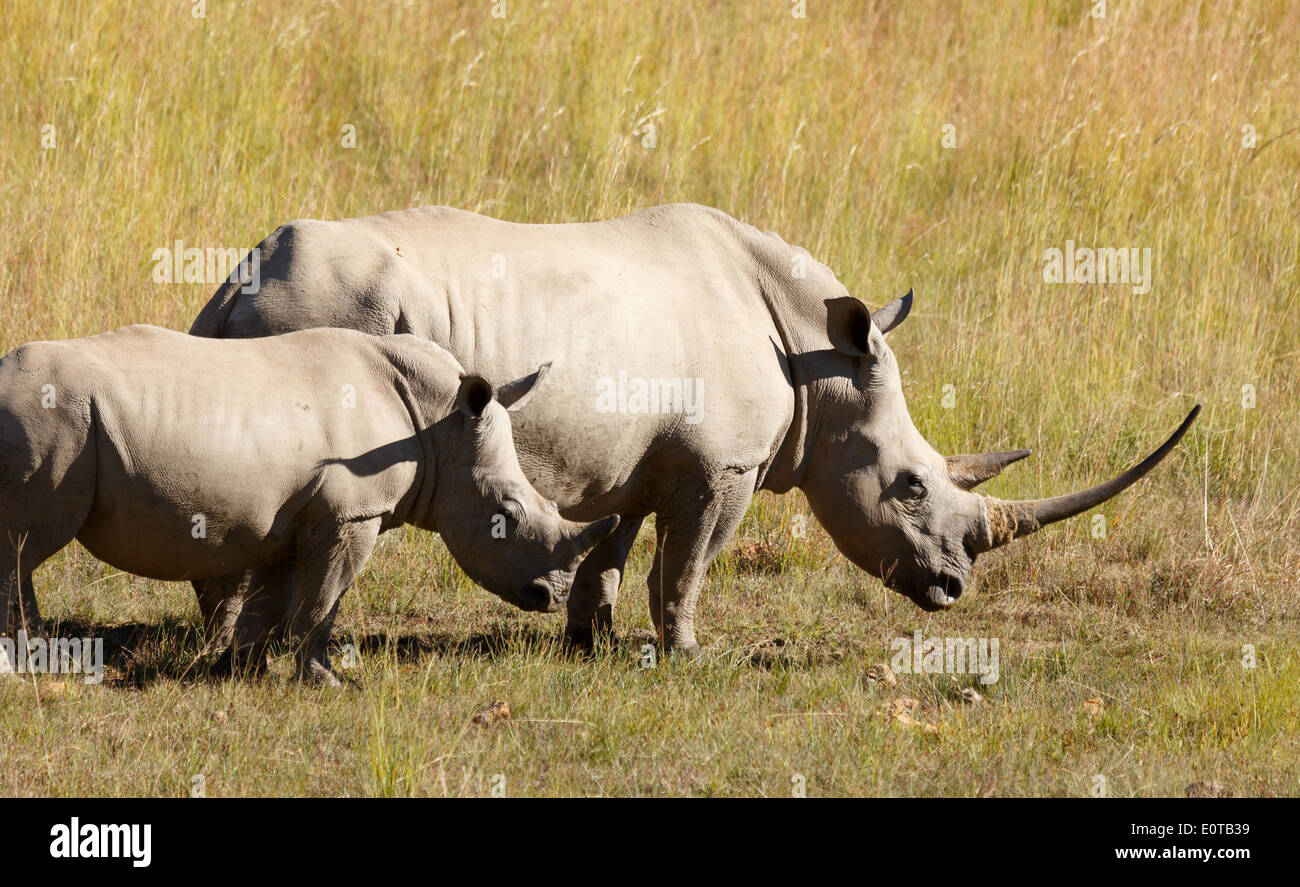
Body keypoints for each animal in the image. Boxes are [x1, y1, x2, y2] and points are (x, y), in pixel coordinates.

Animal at [0, 324, 618, 683]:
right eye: (507, 516)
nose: (551, 596)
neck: (440, 422)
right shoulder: (351, 515)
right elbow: (324, 600)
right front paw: (325, 679)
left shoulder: (285, 517)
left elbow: (270, 599)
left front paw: (238, 671)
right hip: (52, 418)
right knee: (26, 546)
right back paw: (39, 665)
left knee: (19, 548)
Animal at [190, 203, 1199, 655]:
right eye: (910, 486)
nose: (953, 588)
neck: (817, 358)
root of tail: (237, 282)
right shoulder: (725, 464)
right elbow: (689, 562)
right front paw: (682, 653)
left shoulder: (631, 458)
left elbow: (611, 544)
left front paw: (589, 641)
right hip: (319, 311)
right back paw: (242, 648)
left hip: (268, 310)